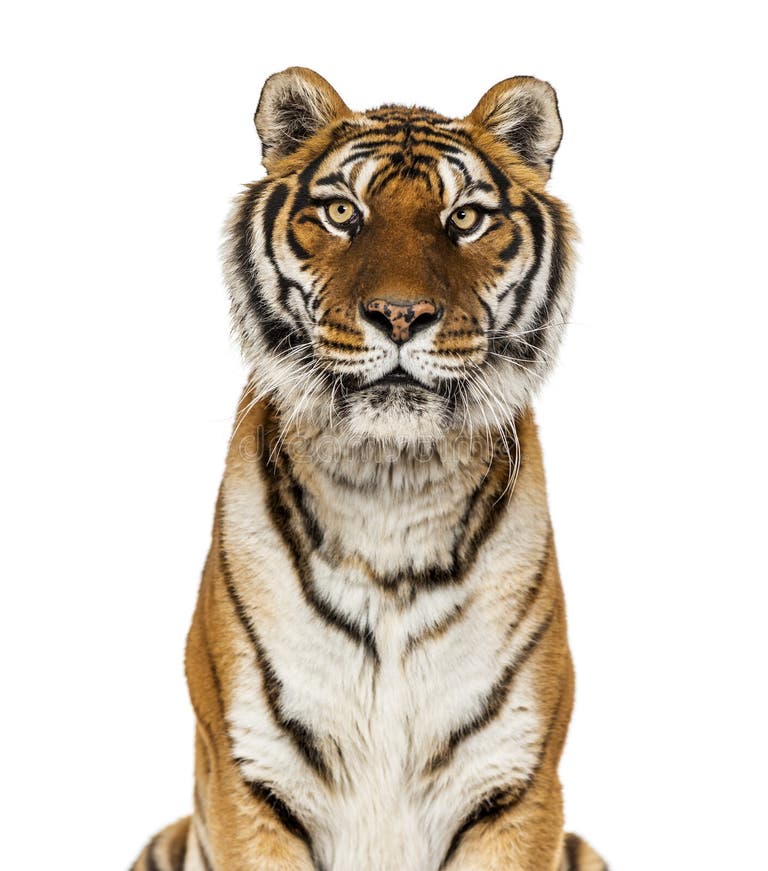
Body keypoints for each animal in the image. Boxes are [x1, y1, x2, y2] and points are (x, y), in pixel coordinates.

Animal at [131, 67, 607, 871]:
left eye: (466, 218)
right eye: (341, 212)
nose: (400, 314)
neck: (391, 489)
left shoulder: (514, 781)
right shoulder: (249, 778)